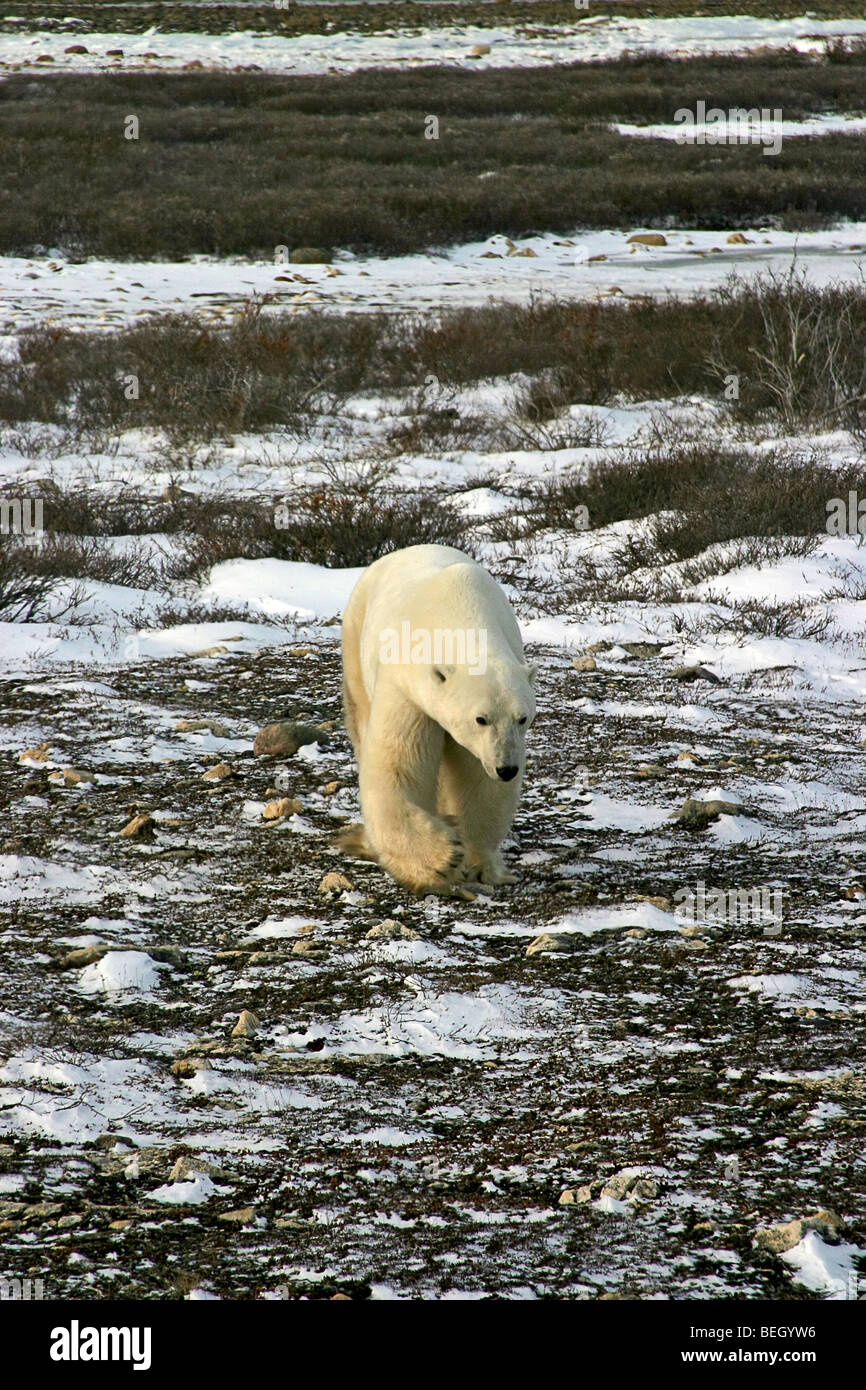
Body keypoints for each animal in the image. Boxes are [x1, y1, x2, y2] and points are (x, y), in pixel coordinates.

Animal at [338, 544, 536, 894]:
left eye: (522, 718)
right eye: (481, 719)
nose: (508, 769)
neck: (459, 612)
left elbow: (477, 779)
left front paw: (481, 864)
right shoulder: (407, 686)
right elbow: (397, 768)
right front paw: (441, 858)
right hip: (356, 638)